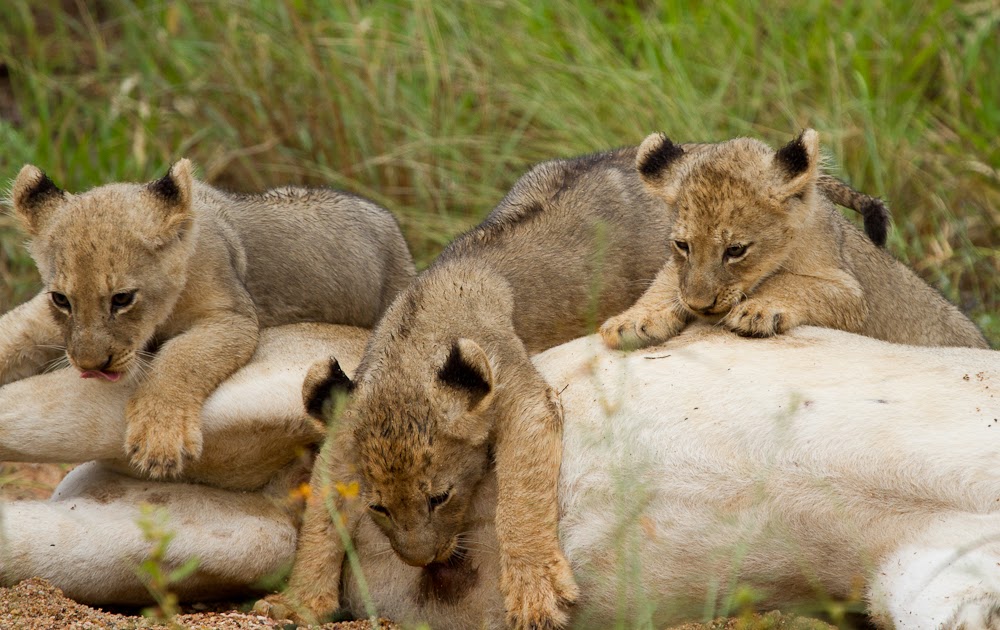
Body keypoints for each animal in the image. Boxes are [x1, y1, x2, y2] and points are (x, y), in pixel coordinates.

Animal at [1, 161, 415, 478]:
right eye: (61, 300)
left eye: (122, 299)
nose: (90, 366)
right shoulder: (41, 318)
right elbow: (12, 333)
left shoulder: (231, 318)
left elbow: (181, 359)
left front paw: (158, 439)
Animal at [252, 148, 893, 628]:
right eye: (380, 507)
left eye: (440, 497)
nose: (421, 558)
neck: (411, 341)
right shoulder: (348, 424)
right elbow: (320, 516)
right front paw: (299, 601)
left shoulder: (519, 389)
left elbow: (520, 494)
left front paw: (534, 591)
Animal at [600, 130, 988, 350]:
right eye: (683, 245)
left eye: (735, 250)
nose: (699, 306)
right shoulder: (678, 272)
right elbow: (667, 280)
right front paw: (632, 320)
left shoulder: (851, 294)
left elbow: (794, 282)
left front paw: (758, 310)